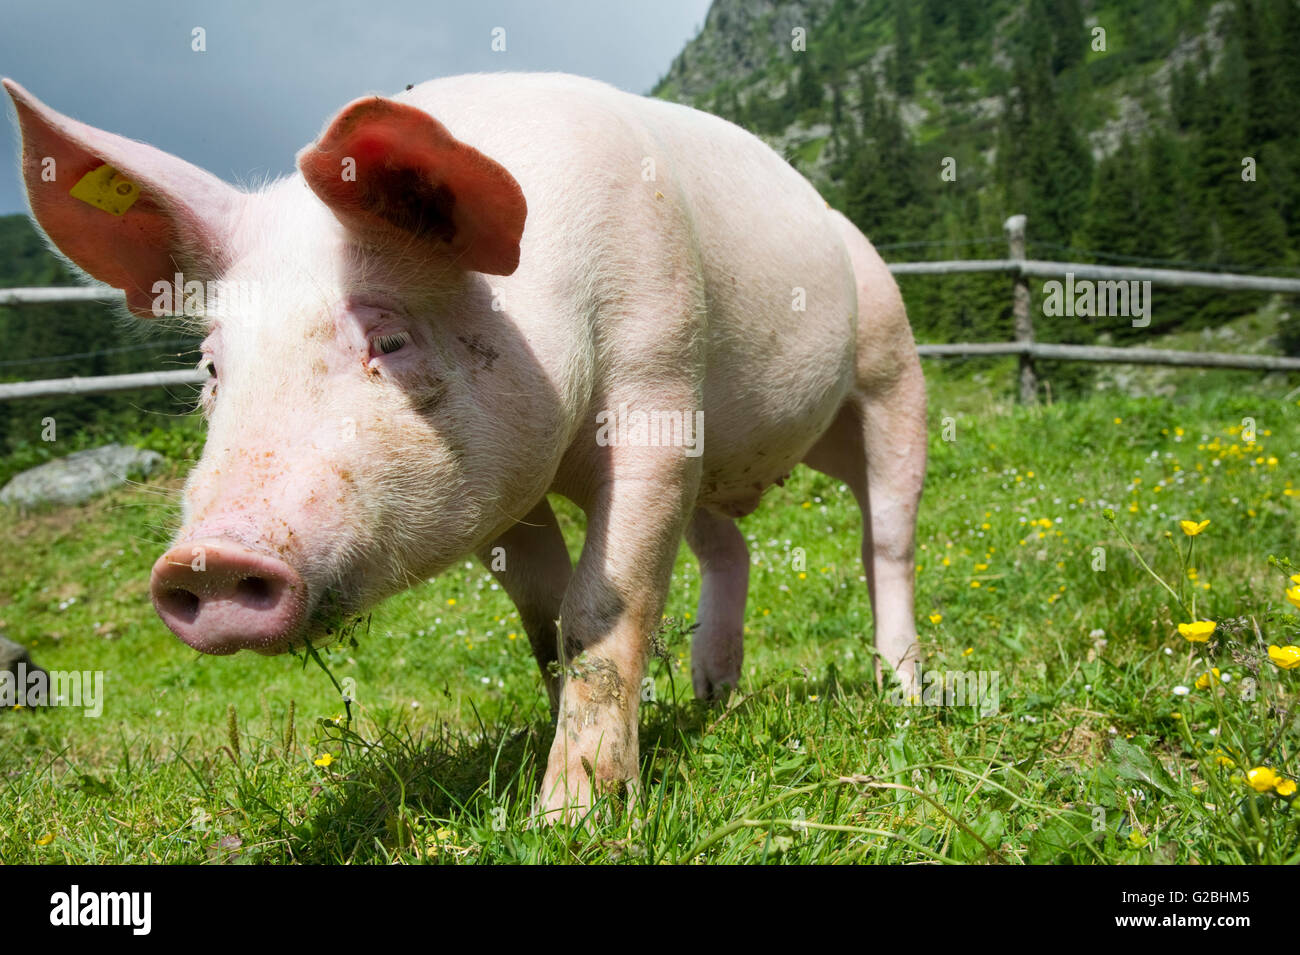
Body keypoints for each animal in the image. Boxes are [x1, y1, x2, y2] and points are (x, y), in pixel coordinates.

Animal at [4, 73, 927, 821]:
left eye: (390, 338)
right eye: (211, 366)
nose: (209, 558)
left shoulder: (661, 390)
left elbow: (602, 606)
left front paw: (571, 817)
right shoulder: (506, 496)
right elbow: (543, 622)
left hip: (888, 358)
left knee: (884, 533)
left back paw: (905, 694)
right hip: (726, 458)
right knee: (730, 544)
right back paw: (712, 697)